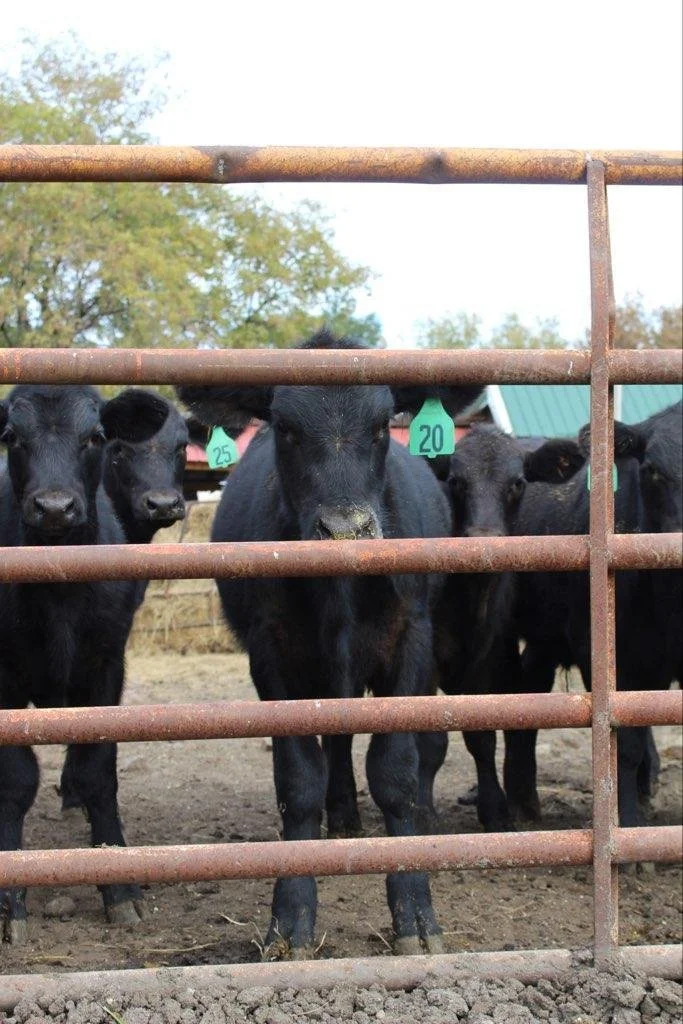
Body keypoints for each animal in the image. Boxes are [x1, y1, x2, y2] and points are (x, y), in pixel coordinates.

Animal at [0, 384, 169, 943]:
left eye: (96, 436)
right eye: (10, 435)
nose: (54, 508)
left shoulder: (105, 665)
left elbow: (97, 770)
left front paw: (119, 888)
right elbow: (15, 779)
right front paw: (11, 901)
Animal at [177, 329, 483, 959]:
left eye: (381, 426)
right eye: (285, 428)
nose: (345, 529)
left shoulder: (411, 641)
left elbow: (396, 773)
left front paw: (415, 912)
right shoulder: (271, 656)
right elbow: (299, 782)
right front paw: (291, 915)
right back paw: (339, 816)